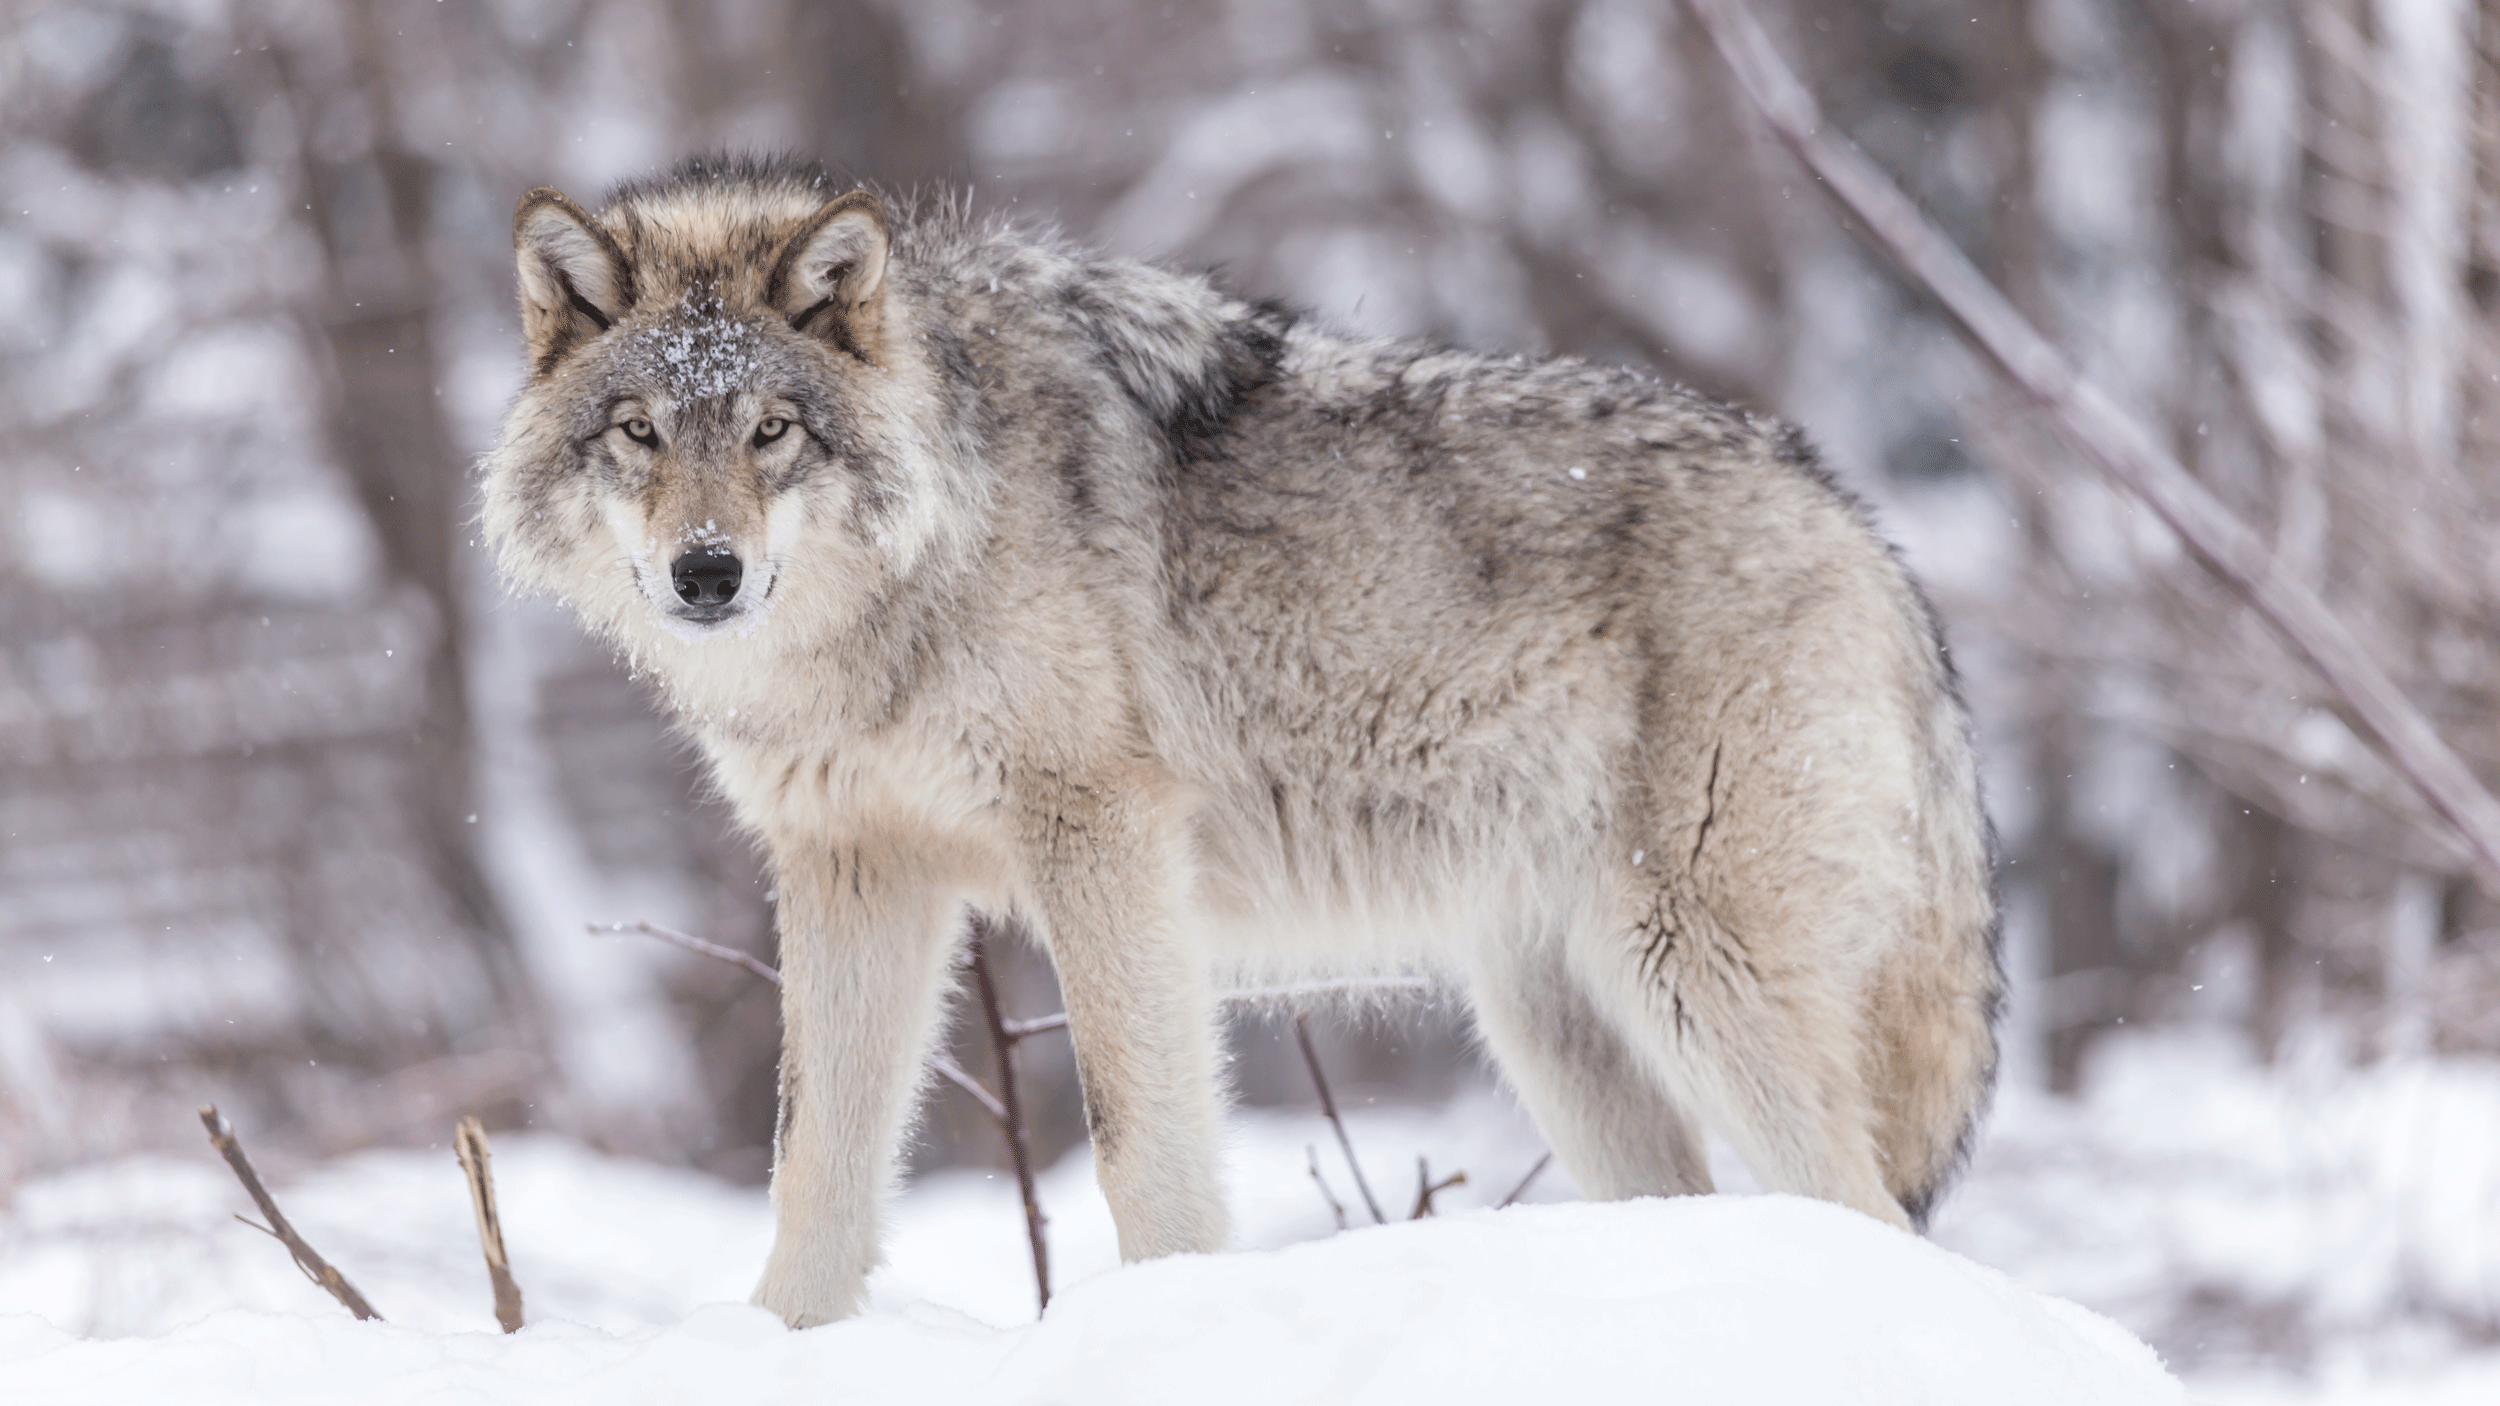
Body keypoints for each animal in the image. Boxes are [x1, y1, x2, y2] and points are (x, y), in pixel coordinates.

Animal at [481, 154, 2001, 1327]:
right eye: (639, 432)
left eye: (773, 430)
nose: (707, 573)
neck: (908, 579)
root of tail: (1860, 524)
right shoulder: (852, 865)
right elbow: (815, 1161)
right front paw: (782, 1343)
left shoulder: (1099, 832)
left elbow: (1136, 1136)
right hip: (1560, 1023)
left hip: (1694, 976)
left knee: (1871, 1209)